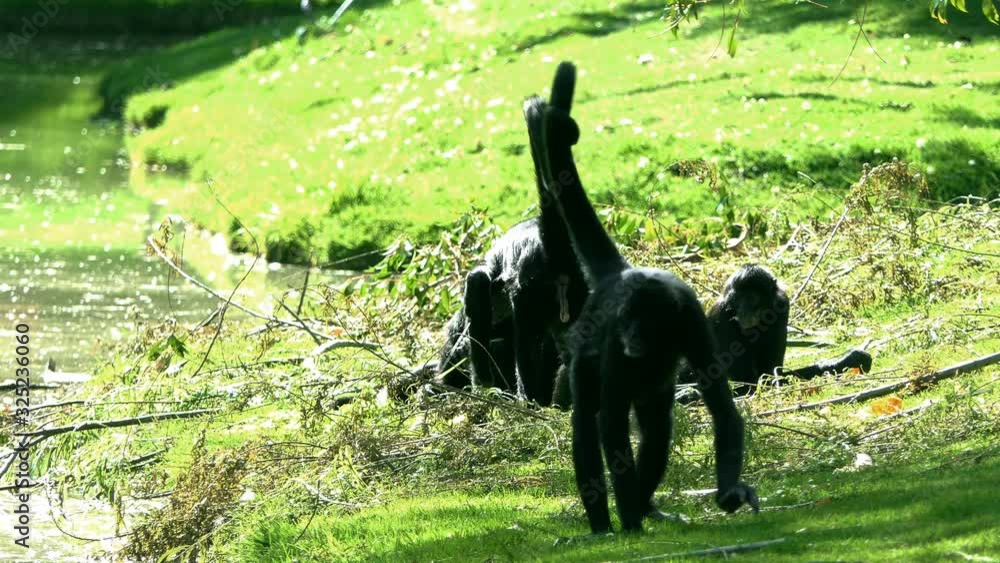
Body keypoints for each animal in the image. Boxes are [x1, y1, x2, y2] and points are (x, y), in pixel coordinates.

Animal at [537, 61, 758, 534]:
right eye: (628, 323)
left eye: (646, 324)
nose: (634, 339)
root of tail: (619, 273)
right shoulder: (612, 339)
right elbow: (609, 426)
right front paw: (628, 524)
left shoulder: (693, 322)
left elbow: (722, 410)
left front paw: (728, 492)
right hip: (585, 348)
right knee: (587, 426)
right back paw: (605, 523)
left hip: (652, 380)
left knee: (658, 426)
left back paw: (644, 503)